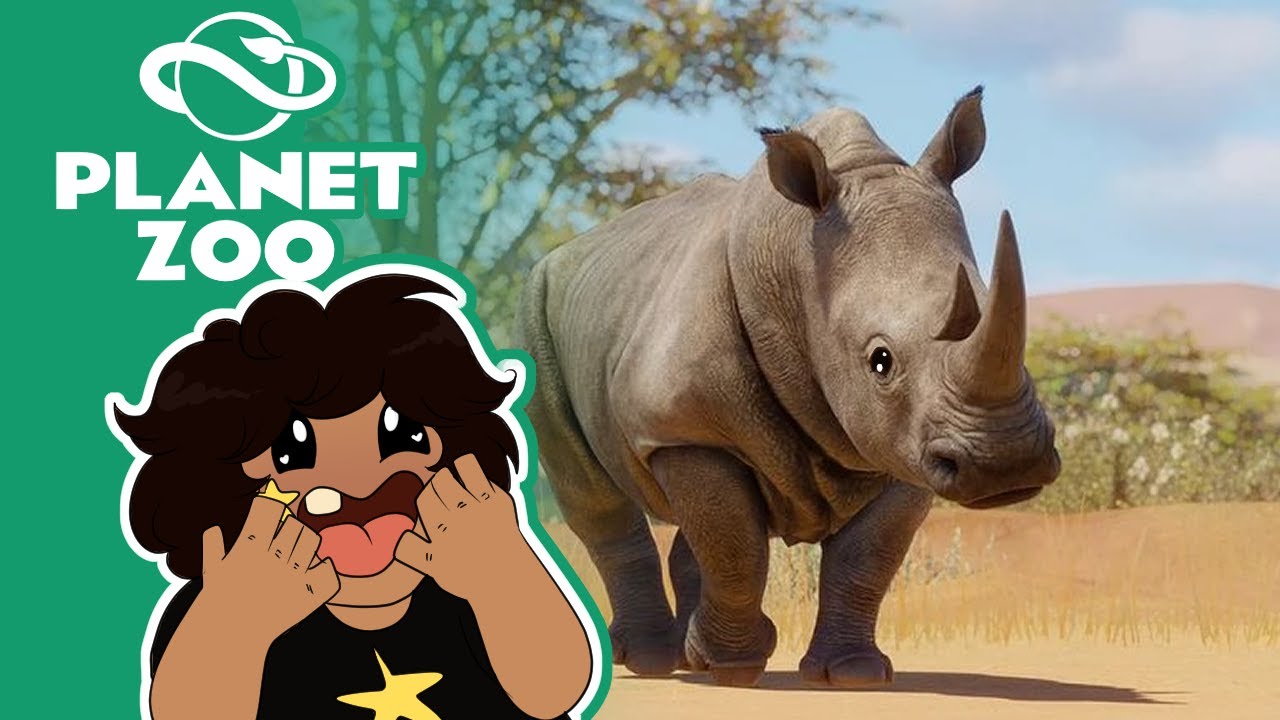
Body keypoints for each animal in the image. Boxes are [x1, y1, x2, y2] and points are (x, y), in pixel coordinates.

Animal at [517, 87, 1060, 688]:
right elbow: (736, 548)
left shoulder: (906, 442)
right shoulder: (682, 428)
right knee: (596, 498)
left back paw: (685, 659)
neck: (795, 265)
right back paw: (653, 663)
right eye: (880, 361)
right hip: (538, 310)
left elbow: (865, 559)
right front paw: (732, 667)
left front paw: (852, 675)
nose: (1005, 465)